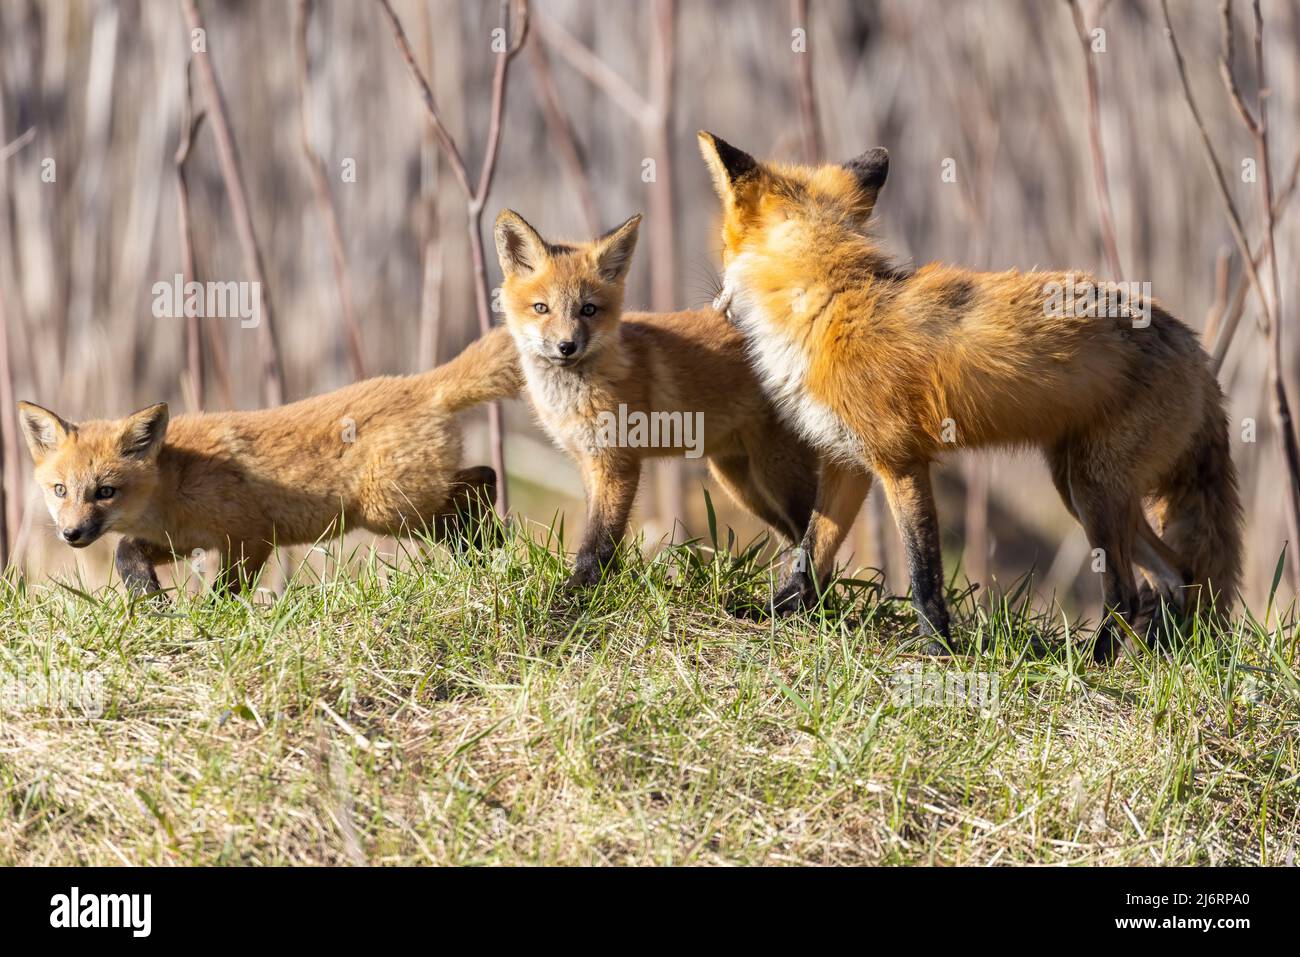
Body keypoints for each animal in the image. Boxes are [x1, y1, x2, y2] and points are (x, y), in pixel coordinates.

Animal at [18, 326, 521, 595]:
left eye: (105, 491)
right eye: (60, 490)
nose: (71, 534)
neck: (174, 484)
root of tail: (420, 382)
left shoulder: (251, 535)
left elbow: (227, 592)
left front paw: (210, 619)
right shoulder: (181, 540)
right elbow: (126, 551)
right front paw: (150, 598)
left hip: (390, 509)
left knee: (481, 479)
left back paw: (490, 544)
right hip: (404, 507)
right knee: (476, 486)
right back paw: (485, 548)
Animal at [492, 208, 819, 589]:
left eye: (588, 309)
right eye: (541, 308)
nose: (566, 346)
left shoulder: (617, 463)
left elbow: (599, 540)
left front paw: (582, 588)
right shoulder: (588, 462)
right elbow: (601, 532)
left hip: (776, 473)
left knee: (816, 531)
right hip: (741, 482)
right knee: (793, 537)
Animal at [697, 131, 1242, 661]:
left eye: (722, 246)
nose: (713, 300)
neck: (833, 300)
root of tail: (1197, 349)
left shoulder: (900, 462)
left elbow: (923, 576)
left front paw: (938, 648)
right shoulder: (846, 461)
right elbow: (809, 555)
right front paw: (773, 613)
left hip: (1094, 489)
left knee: (1129, 593)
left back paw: (1090, 661)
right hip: (1082, 489)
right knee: (1178, 573)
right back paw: (1162, 655)